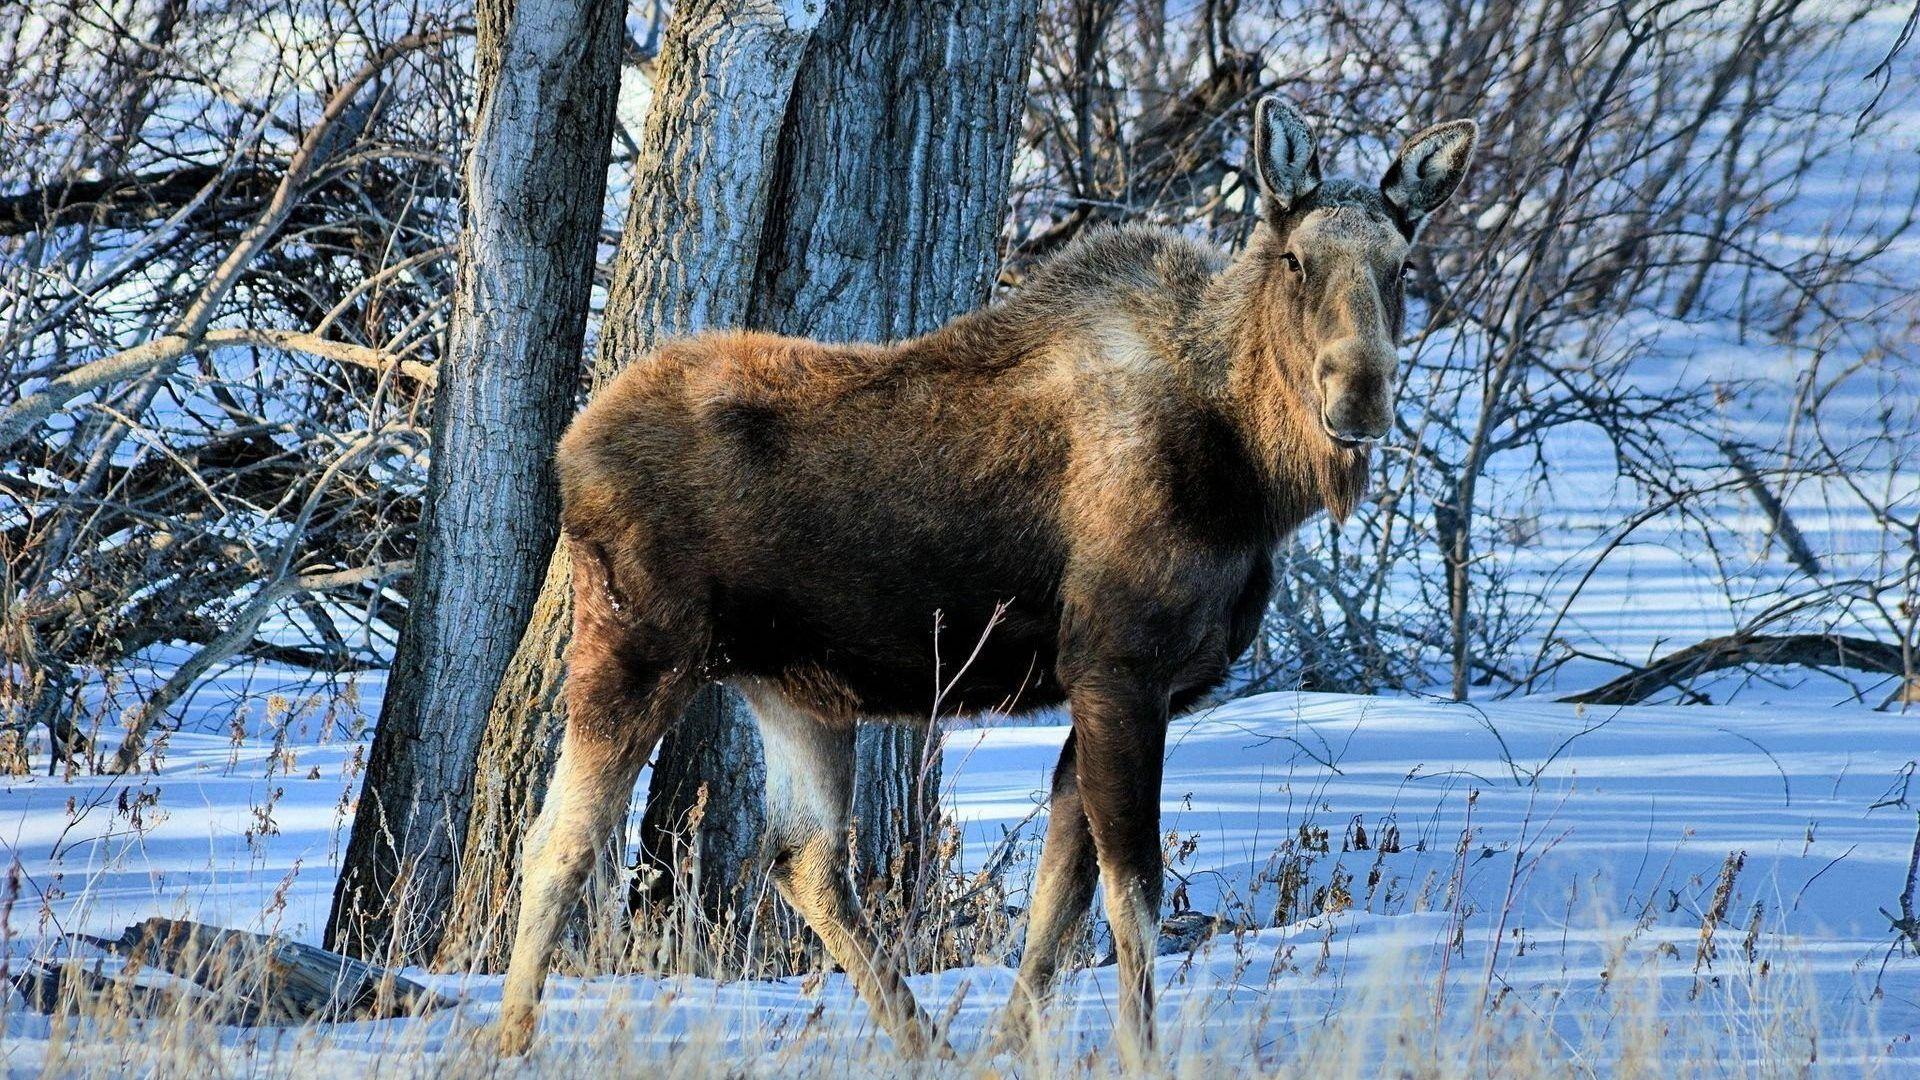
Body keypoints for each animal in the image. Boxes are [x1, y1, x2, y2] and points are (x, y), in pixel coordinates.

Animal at [495, 96, 1476, 1061]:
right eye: (1298, 260)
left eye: (1400, 265)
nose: (1359, 396)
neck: (1253, 478)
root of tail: (570, 450)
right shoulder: (1118, 669)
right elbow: (1132, 893)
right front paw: (1140, 1053)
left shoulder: (1107, 686)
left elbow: (1058, 900)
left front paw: (1008, 1045)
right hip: (636, 644)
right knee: (559, 840)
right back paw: (511, 1039)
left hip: (791, 689)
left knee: (803, 861)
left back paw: (926, 1041)